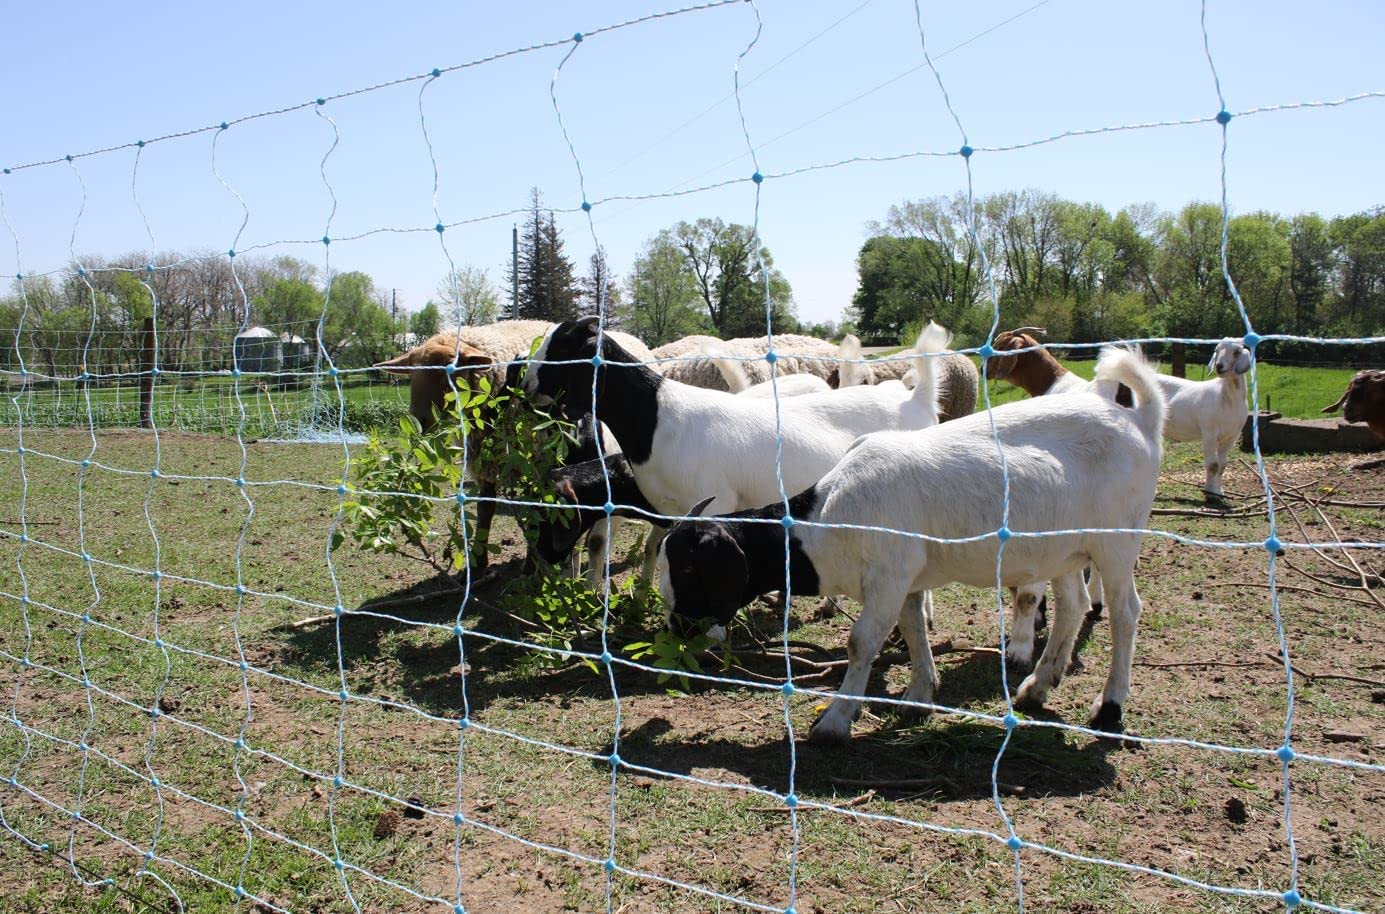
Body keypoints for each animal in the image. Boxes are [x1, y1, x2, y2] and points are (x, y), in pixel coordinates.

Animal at [656, 346, 1165, 744]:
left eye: (690, 567)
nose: (677, 629)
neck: (824, 517)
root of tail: (1142, 419)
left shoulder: (888, 574)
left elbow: (861, 642)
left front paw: (835, 721)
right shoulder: (907, 580)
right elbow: (915, 629)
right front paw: (919, 697)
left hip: (1117, 543)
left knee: (1125, 612)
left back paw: (1109, 708)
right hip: (1064, 549)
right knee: (1073, 604)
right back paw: (1038, 686)